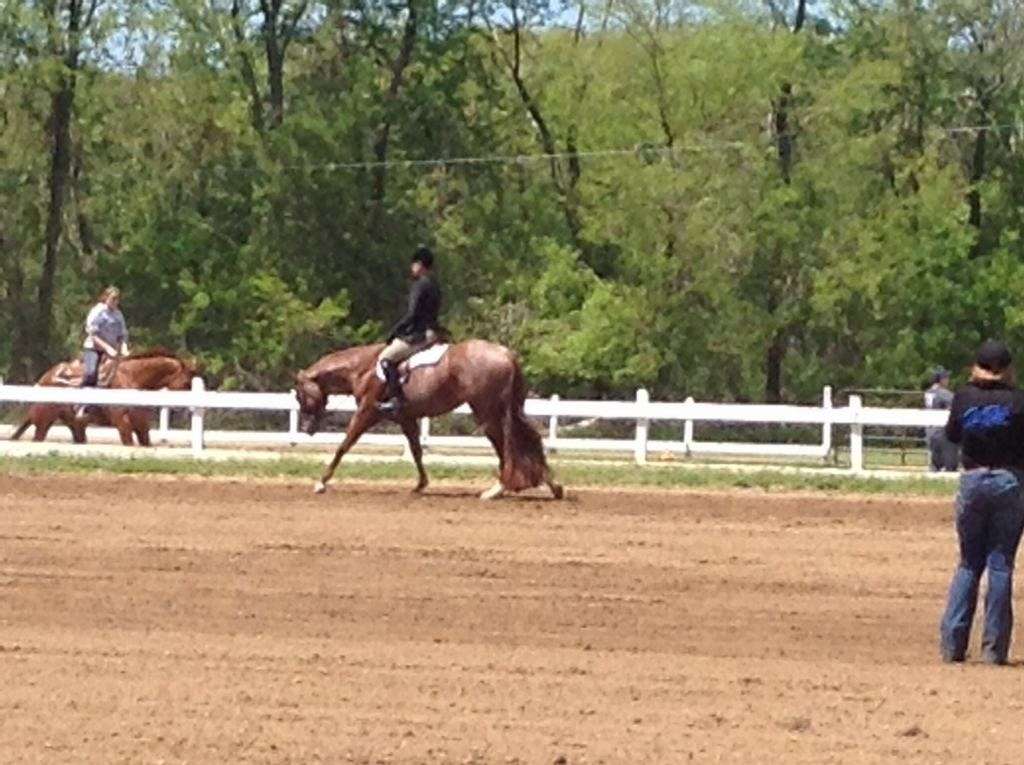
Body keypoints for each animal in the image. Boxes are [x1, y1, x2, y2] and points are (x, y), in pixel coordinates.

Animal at [8, 349, 199, 446]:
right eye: (186, 383)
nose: (190, 409)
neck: (132, 378)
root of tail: (44, 379)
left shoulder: (142, 427)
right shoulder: (123, 426)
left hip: (76, 426)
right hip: (43, 424)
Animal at [294, 340, 563, 500]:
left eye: (299, 395)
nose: (307, 429)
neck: (363, 368)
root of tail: (505, 353)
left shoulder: (368, 412)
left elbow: (344, 445)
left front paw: (321, 482)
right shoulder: (407, 418)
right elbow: (416, 450)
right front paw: (420, 484)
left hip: (487, 412)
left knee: (505, 443)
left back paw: (497, 489)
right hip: (504, 410)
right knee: (529, 437)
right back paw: (553, 486)